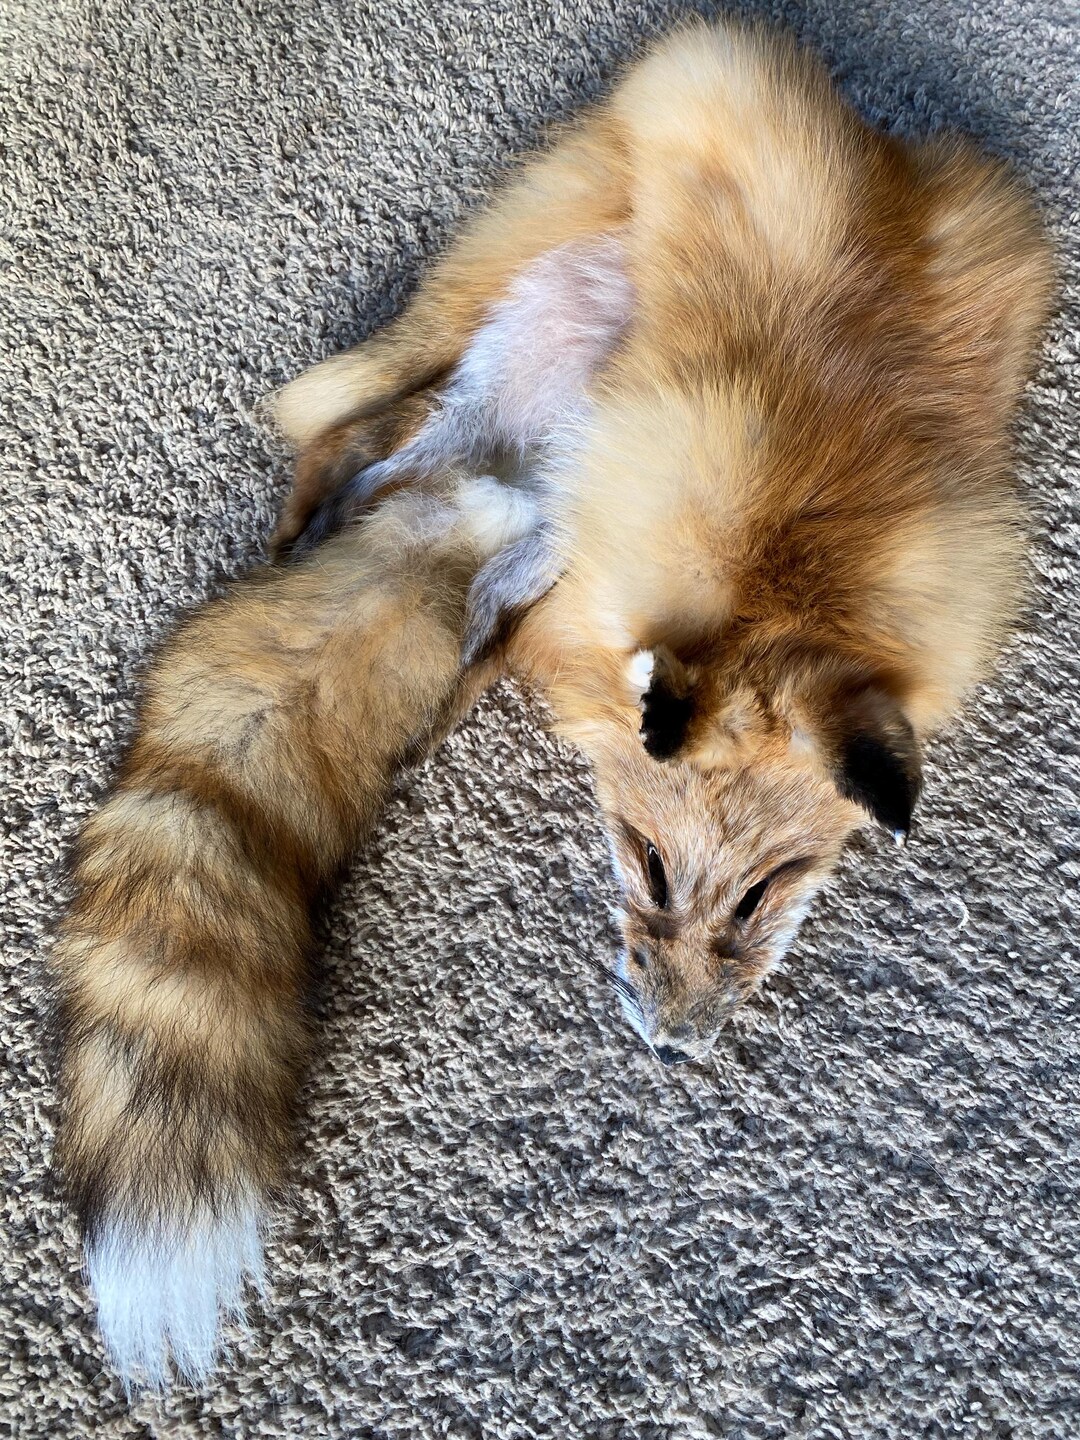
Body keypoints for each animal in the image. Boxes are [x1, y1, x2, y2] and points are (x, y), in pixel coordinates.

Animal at [53, 17, 1052, 1388]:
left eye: (765, 894)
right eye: (645, 864)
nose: (673, 1048)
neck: (794, 556)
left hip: (487, 456)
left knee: (384, 477)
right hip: (481, 299)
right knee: (331, 429)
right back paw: (314, 530)